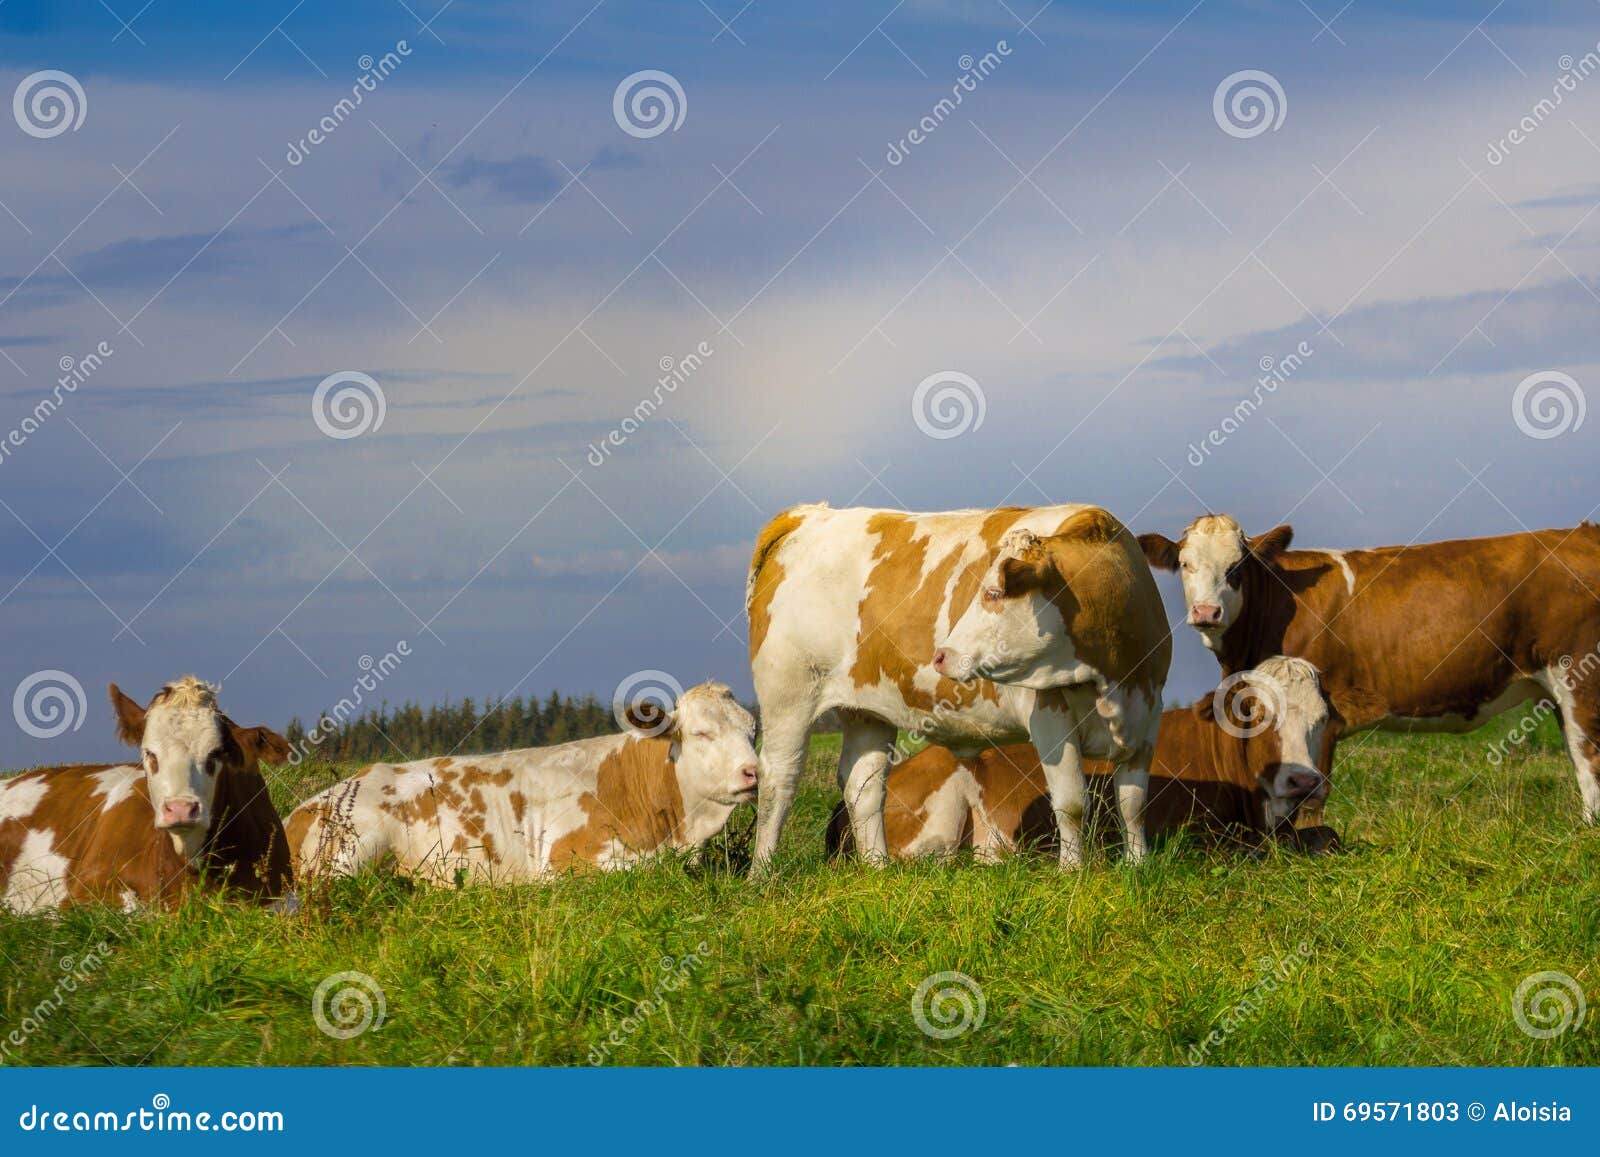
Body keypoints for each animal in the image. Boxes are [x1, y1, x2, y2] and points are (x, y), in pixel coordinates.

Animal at [747, 503, 1170, 871]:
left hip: (865, 709)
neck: (1112, 681)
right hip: (788, 694)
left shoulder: (1149, 714)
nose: (942, 654)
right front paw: (1071, 871)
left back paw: (878, 868)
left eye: (994, 593)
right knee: (778, 781)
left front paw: (1138, 865)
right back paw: (762, 875)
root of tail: (806, 515)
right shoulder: (1049, 713)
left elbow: (1133, 803)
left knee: (864, 785)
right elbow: (1071, 802)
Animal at [1138, 514, 1600, 824]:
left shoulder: (1322, 717)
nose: (1206, 612)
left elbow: (1311, 795)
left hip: (1578, 675)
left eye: (1237, 567)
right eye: (1185, 564)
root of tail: (1582, 532)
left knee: (1588, 759)